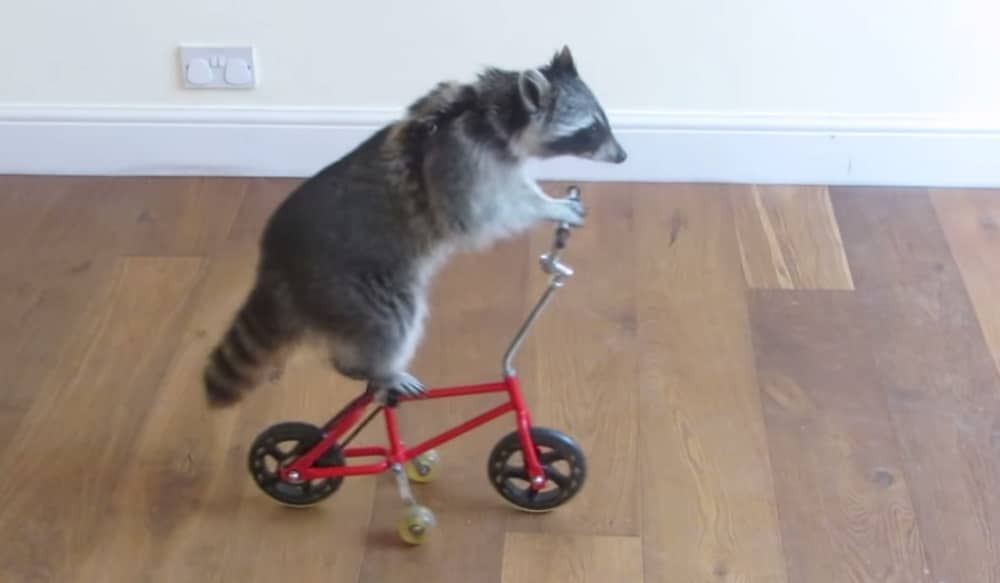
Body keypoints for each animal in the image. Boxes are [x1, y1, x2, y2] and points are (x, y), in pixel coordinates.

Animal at [204, 46, 626, 408]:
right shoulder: (459, 162)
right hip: (352, 286)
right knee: (393, 320)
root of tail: (275, 263)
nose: (622, 156)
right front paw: (548, 207)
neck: (488, 111)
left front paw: (549, 199)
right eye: (591, 129)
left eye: (604, 120)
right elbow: (479, 216)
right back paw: (378, 370)